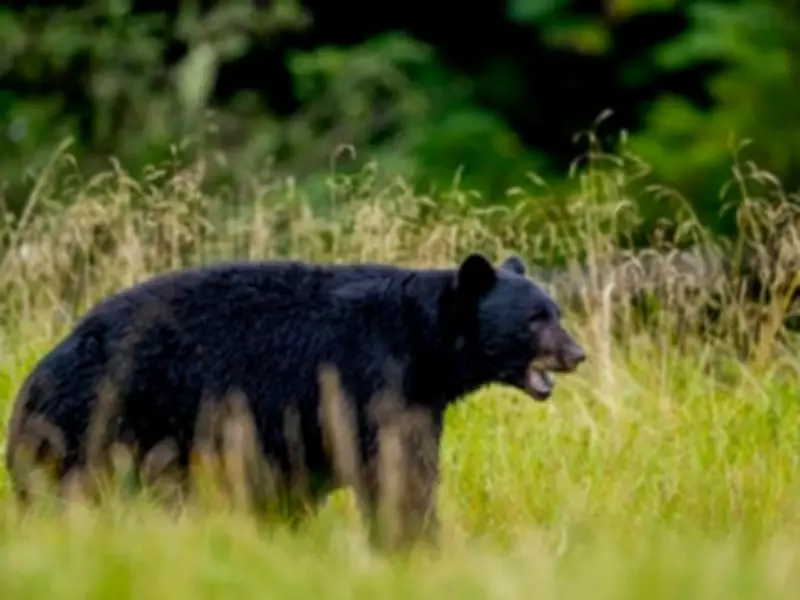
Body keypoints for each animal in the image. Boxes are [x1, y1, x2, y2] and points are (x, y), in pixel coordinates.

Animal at [5, 252, 586, 545]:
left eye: (556, 311)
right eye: (536, 318)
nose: (576, 353)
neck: (427, 346)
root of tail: (35, 378)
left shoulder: (409, 397)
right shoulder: (369, 378)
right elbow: (396, 467)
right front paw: (414, 540)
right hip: (97, 421)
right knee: (70, 487)